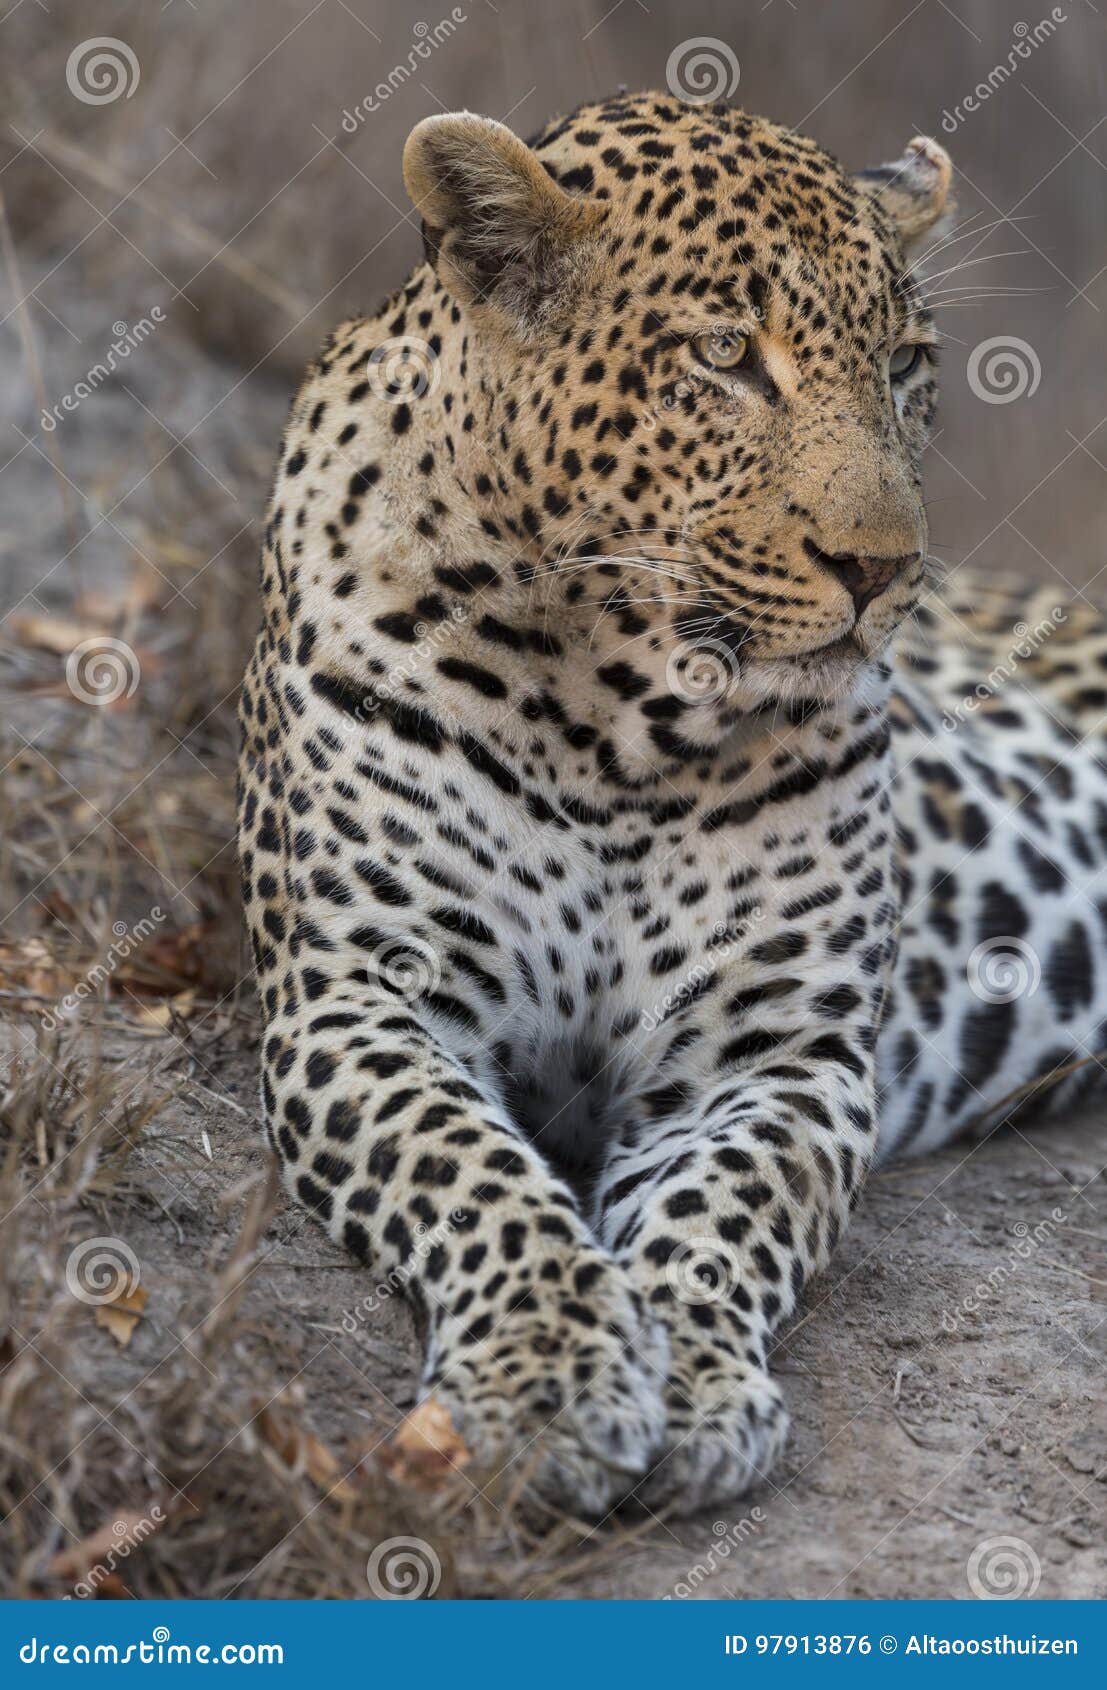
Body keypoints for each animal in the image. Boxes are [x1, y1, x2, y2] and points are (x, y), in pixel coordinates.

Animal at [237, 92, 1107, 1519]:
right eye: (724, 355)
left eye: (907, 365)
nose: (882, 570)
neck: (612, 725)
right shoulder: (363, 995)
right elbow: (475, 1176)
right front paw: (548, 1379)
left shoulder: (772, 1054)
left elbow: (724, 1211)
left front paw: (692, 1376)